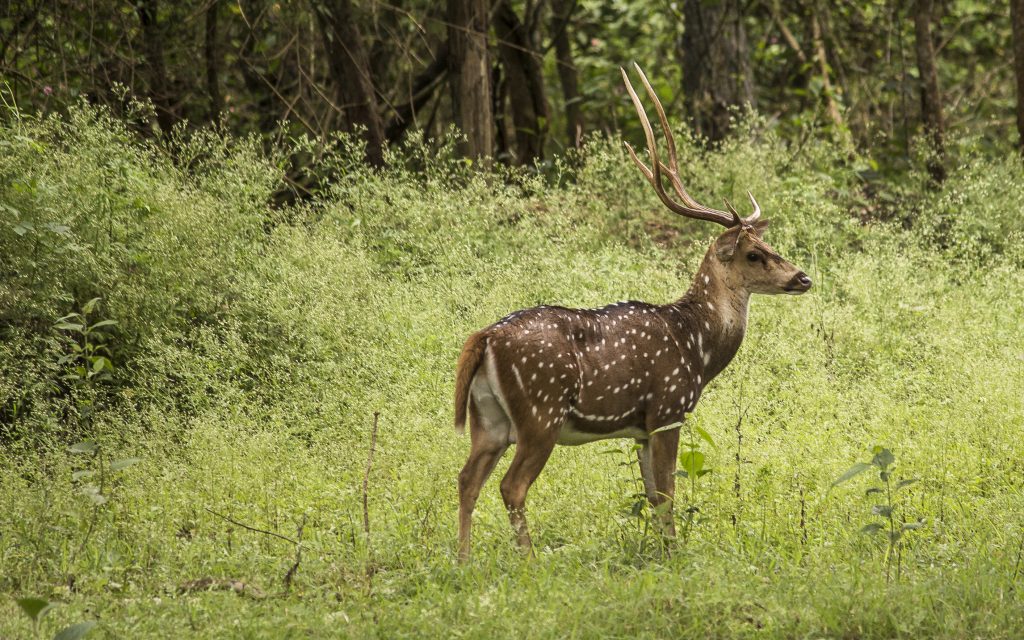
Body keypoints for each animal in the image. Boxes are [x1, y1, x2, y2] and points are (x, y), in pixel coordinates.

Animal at [452, 64, 812, 561]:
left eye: (768, 243)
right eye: (754, 254)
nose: (803, 278)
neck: (698, 347)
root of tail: (484, 338)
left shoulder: (639, 428)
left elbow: (651, 493)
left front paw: (661, 551)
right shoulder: (668, 408)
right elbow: (667, 492)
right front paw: (676, 555)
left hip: (487, 419)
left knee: (467, 479)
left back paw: (464, 561)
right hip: (540, 412)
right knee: (512, 486)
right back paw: (529, 560)